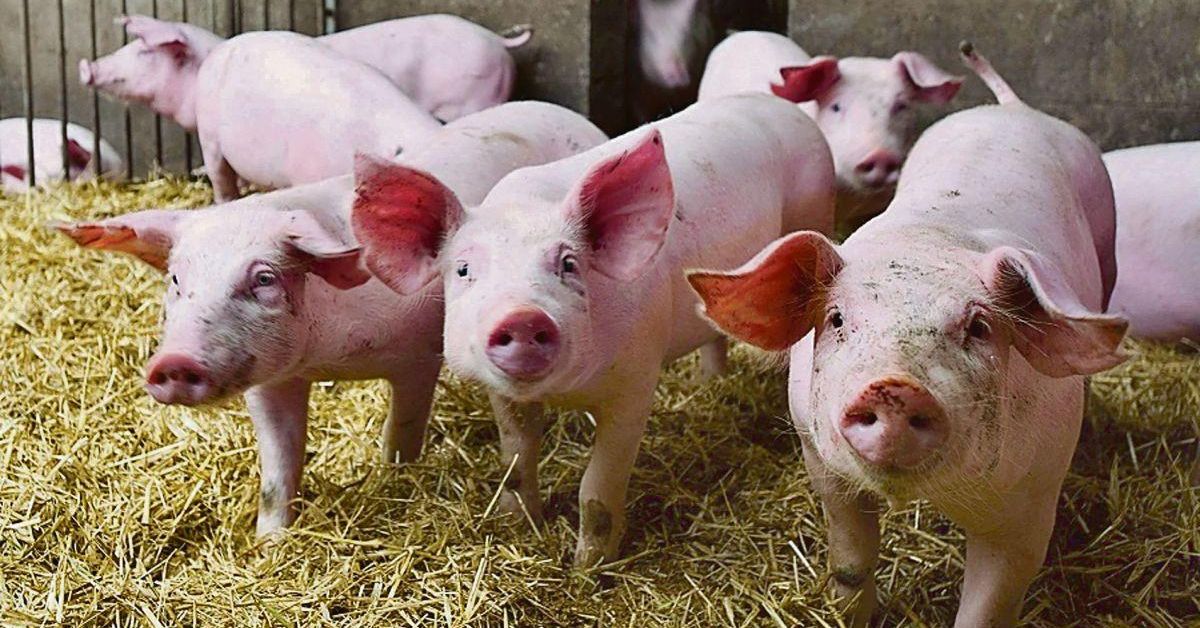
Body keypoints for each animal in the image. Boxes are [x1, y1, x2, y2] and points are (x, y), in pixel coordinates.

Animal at [55, 101, 608, 537]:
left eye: (264, 279)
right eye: (175, 279)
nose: (173, 362)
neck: (328, 357)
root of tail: (571, 115)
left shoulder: (418, 354)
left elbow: (403, 428)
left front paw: (394, 474)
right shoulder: (272, 380)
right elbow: (277, 471)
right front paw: (269, 543)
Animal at [351, 93, 835, 566]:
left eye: (568, 264)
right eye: (464, 269)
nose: (523, 316)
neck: (564, 393)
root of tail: (785, 109)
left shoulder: (636, 383)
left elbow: (596, 492)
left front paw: (588, 569)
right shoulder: (503, 394)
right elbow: (515, 461)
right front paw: (518, 524)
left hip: (813, 213)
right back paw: (708, 382)